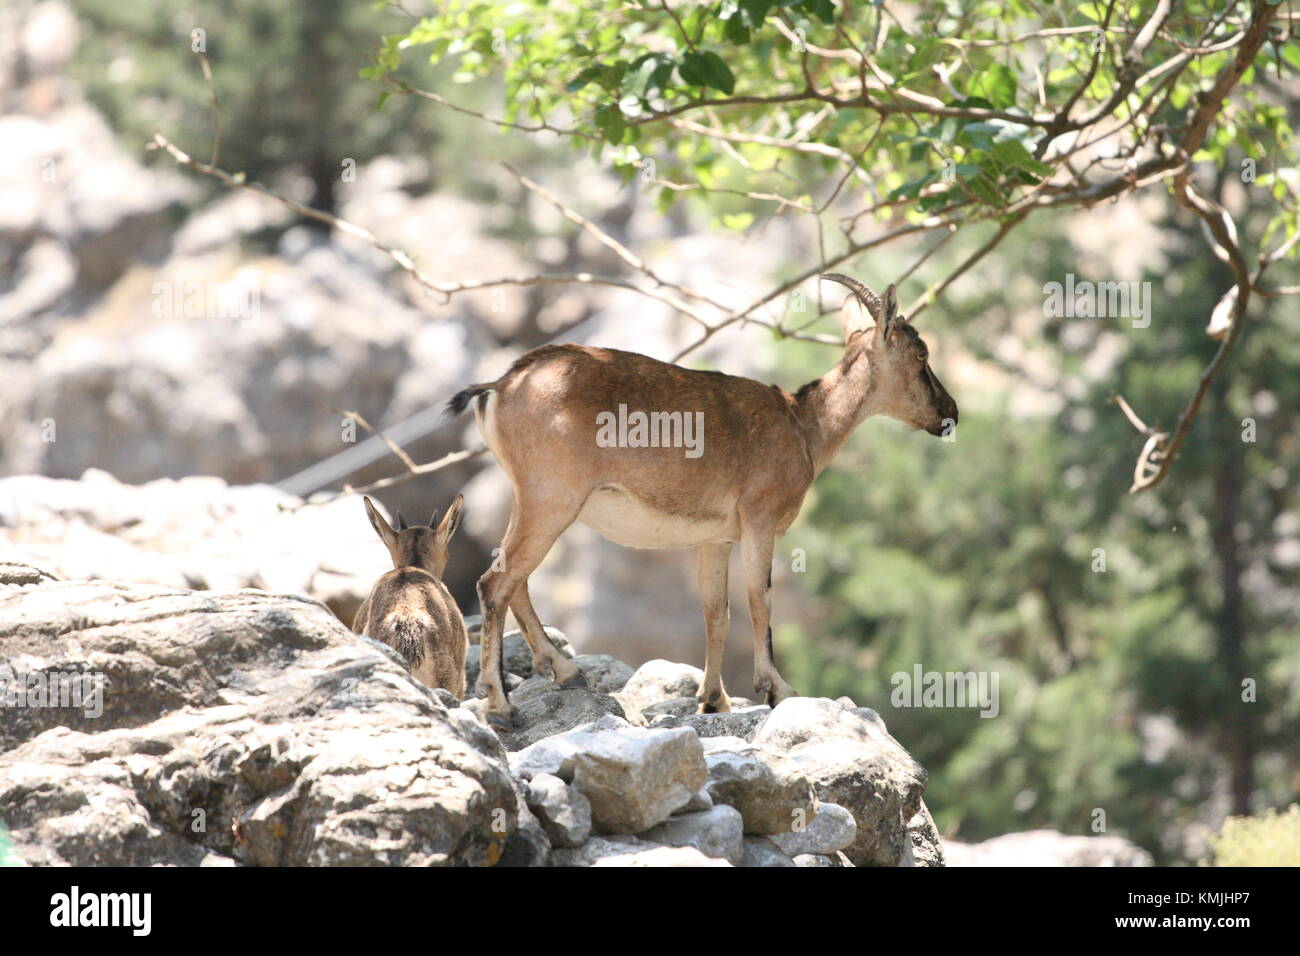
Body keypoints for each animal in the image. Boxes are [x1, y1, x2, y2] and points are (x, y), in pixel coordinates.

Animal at [447, 275, 958, 728]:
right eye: (921, 354)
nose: (950, 413)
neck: (803, 425)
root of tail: (501, 387)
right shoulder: (760, 520)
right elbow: (758, 601)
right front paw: (778, 689)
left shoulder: (716, 539)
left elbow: (717, 613)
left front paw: (714, 700)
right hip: (551, 500)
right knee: (496, 583)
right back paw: (501, 705)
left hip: (533, 501)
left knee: (515, 580)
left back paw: (566, 672)